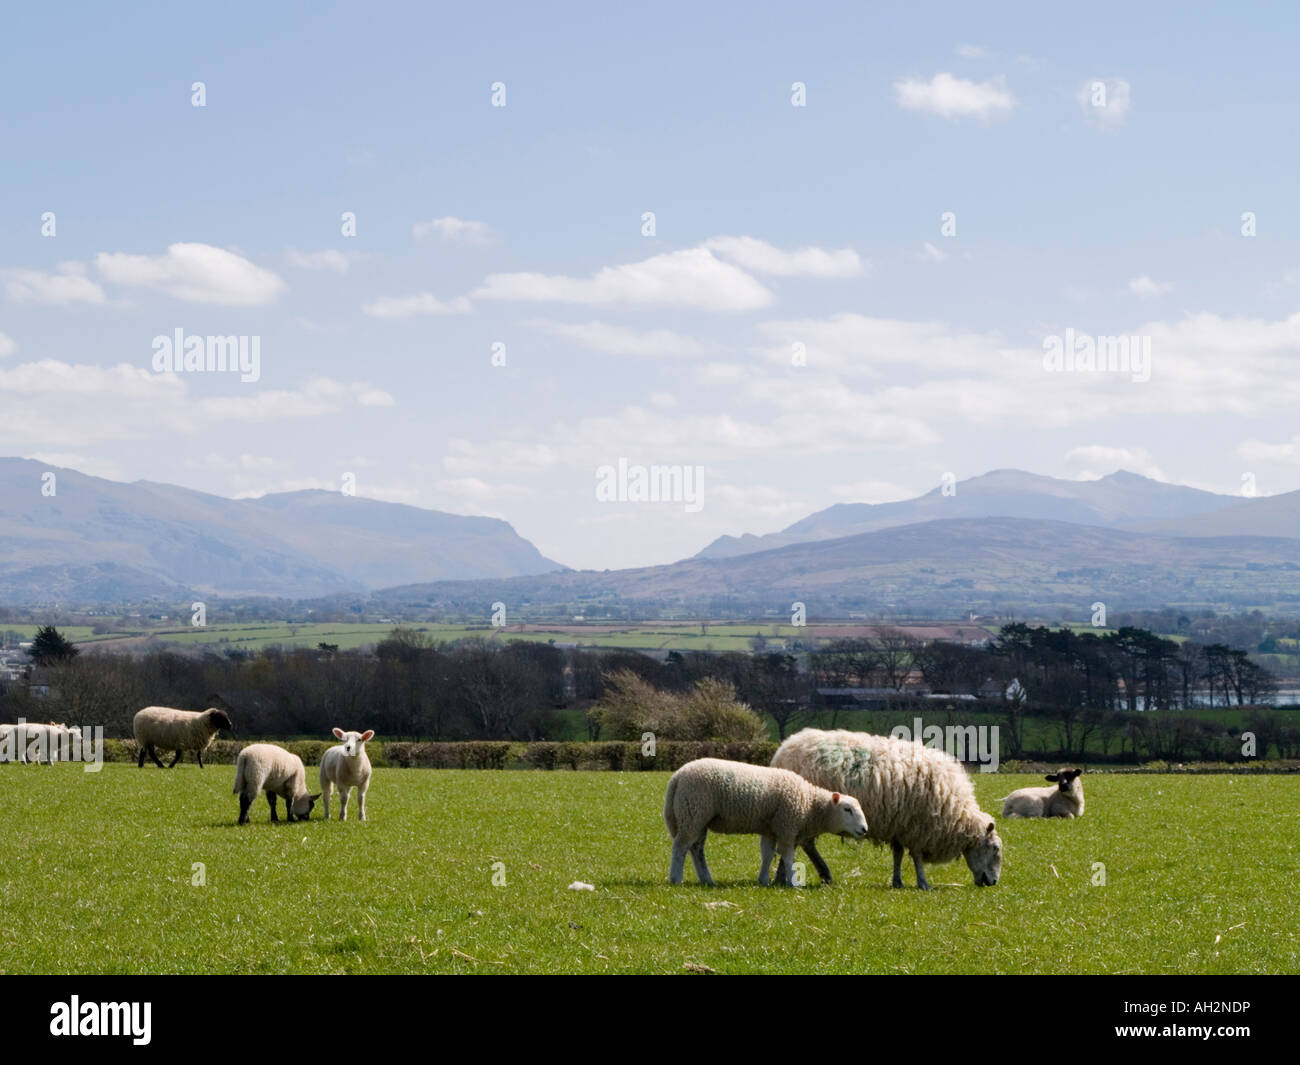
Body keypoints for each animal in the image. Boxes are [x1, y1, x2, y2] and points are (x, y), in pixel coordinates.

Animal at [663, 757, 869, 887]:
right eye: (847, 809)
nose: (864, 829)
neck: (810, 804)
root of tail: (677, 777)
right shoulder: (787, 826)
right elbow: (788, 855)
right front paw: (791, 882)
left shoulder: (771, 829)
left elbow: (768, 854)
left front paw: (763, 880)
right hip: (693, 812)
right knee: (681, 847)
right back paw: (676, 879)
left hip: (697, 818)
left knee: (696, 848)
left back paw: (707, 879)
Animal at [771, 728, 1002, 890]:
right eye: (994, 848)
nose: (993, 882)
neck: (956, 812)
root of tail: (784, 750)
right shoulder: (918, 827)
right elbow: (916, 856)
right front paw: (923, 882)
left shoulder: (900, 824)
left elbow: (898, 853)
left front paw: (897, 881)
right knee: (799, 842)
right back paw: (789, 876)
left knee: (803, 843)